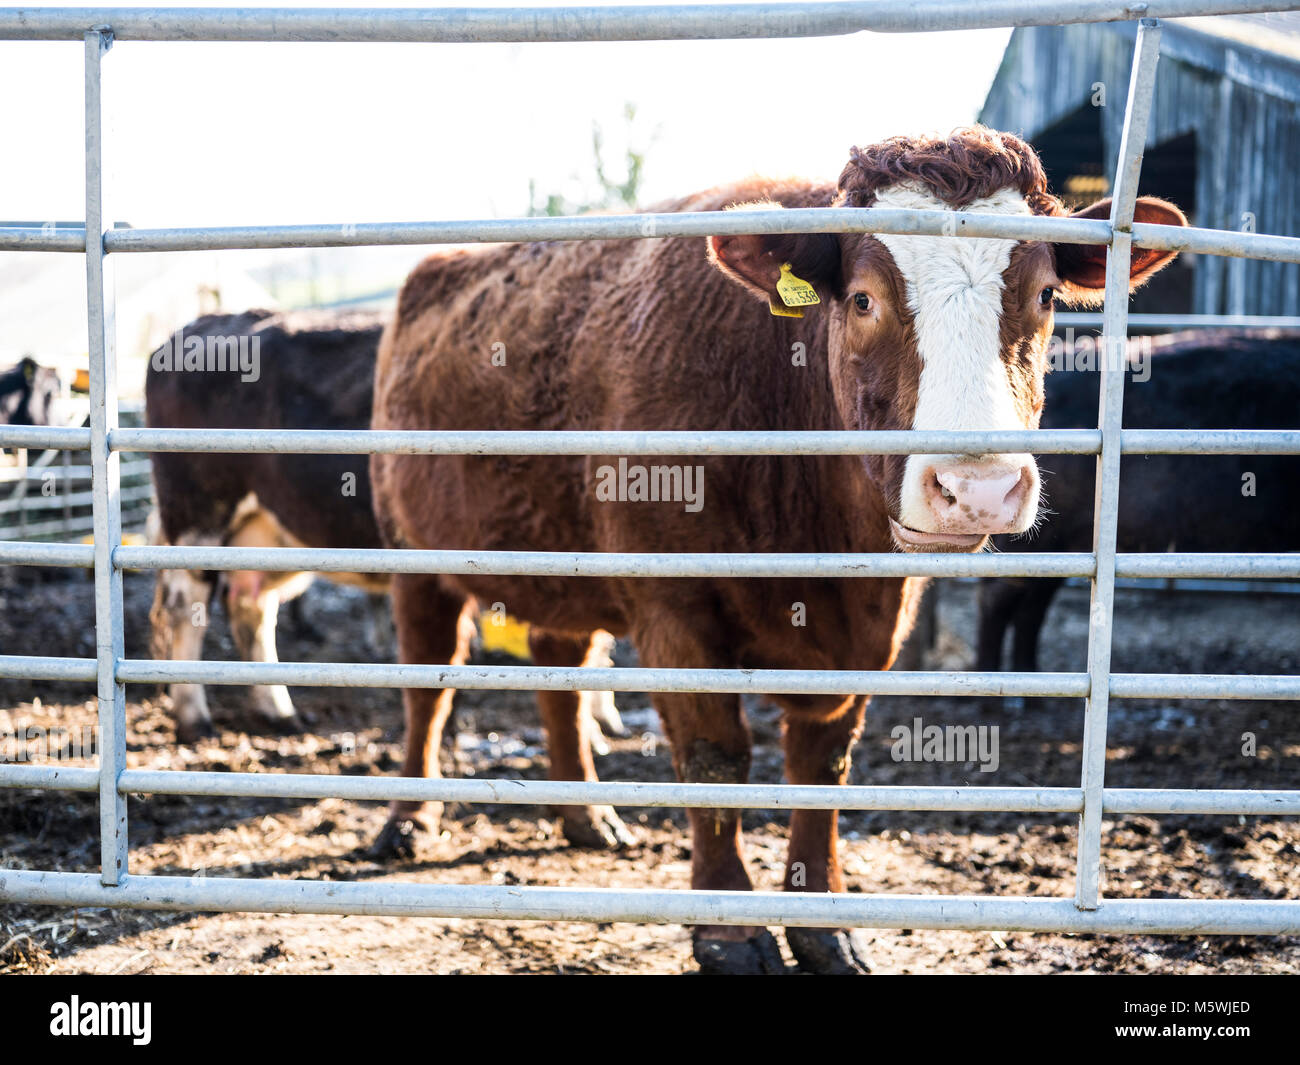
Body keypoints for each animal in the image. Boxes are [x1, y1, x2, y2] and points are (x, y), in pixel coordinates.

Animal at [369, 127, 1188, 973]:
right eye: (862, 299)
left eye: (1047, 296)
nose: (979, 486)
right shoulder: (675, 611)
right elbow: (715, 756)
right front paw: (728, 926)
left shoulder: (870, 628)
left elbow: (822, 764)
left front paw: (823, 925)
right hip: (413, 554)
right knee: (427, 679)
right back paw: (409, 818)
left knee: (558, 665)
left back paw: (584, 813)